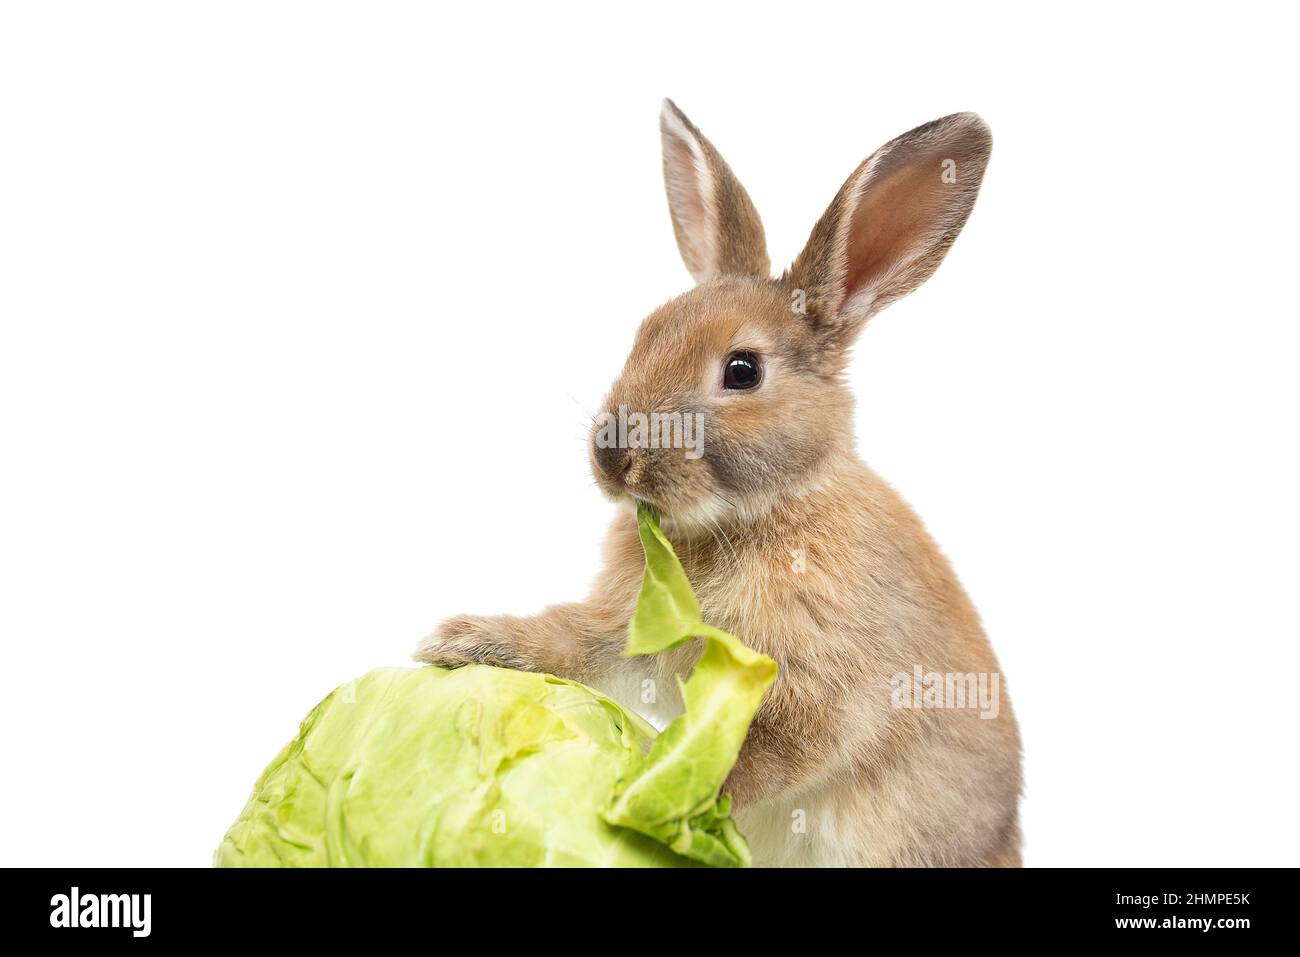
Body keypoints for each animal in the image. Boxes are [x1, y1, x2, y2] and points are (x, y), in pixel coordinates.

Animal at [416, 99, 1023, 868]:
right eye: (645, 331)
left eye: (742, 371)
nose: (612, 455)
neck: (750, 515)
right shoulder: (628, 631)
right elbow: (572, 643)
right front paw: (462, 644)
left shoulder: (818, 690)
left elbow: (758, 752)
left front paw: (648, 780)